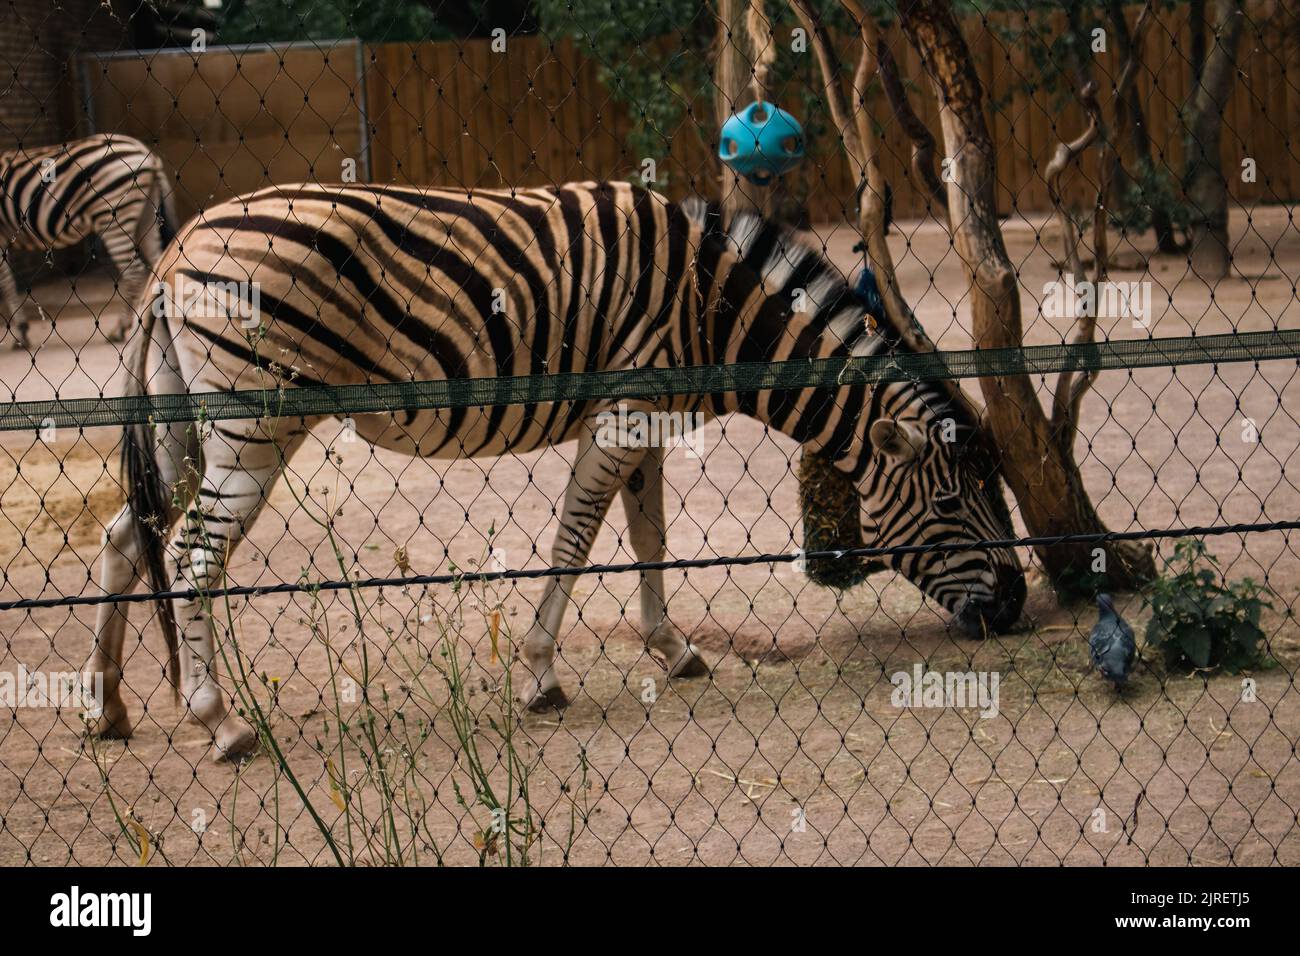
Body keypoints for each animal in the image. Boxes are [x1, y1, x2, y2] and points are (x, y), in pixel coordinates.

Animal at [0, 134, 176, 348]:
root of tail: (146, 153)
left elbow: (5, 282)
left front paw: (21, 332)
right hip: (146, 215)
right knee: (160, 267)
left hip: (114, 215)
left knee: (135, 273)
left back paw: (119, 329)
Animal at [89, 180, 1026, 760]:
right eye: (954, 502)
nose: (1015, 608)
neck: (711, 308)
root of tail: (177, 248)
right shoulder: (622, 412)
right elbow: (577, 541)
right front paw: (540, 673)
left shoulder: (650, 419)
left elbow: (649, 539)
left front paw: (672, 648)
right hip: (252, 426)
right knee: (192, 559)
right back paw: (220, 723)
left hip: (184, 426)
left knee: (128, 539)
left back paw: (107, 706)